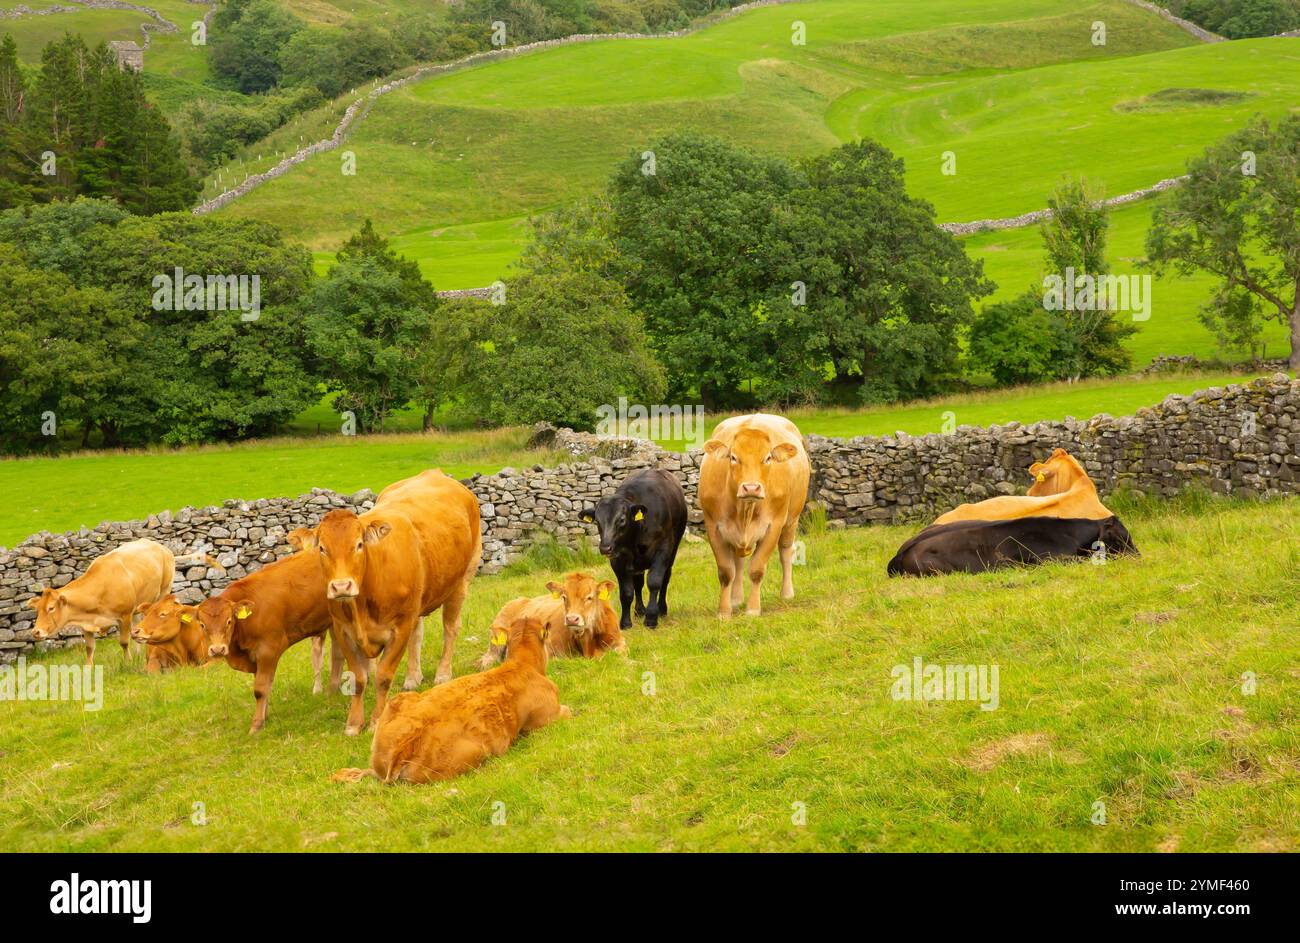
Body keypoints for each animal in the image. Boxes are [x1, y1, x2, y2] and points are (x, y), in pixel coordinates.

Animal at [28, 539, 221, 666]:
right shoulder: (86, 624)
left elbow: (124, 642)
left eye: (51, 608)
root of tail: (163, 548)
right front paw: (88, 669)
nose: (36, 632)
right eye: (38, 610)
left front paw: (128, 662)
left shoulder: (124, 615)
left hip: (163, 591)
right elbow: (89, 648)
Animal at [307, 470, 481, 735]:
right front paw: (353, 723)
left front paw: (377, 721)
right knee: (417, 635)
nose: (341, 586)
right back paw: (412, 677)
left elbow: (383, 675)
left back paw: (442, 674)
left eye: (359, 545)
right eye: (322, 549)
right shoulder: (343, 630)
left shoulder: (399, 626)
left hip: (461, 581)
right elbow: (359, 677)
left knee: (450, 628)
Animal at [477, 571, 625, 669]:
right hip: (497, 636)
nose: (572, 619)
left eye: (589, 597)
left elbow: (618, 653)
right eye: (564, 597)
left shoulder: (620, 642)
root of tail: (521, 599)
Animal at [579, 469, 687, 629]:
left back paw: (662, 609)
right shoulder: (617, 560)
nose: (605, 548)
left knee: (665, 577)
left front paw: (651, 618)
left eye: (622, 520)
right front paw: (625, 623)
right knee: (638, 583)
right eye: (597, 521)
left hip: (673, 548)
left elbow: (654, 582)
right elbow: (627, 591)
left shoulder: (663, 550)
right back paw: (640, 610)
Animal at [698, 414, 811, 617]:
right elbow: (726, 572)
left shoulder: (774, 526)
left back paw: (787, 593)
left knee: (785, 552)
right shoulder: (713, 527)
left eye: (768, 458)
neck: (744, 510)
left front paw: (753, 609)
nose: (751, 488)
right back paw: (735, 599)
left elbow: (757, 569)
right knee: (739, 563)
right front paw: (724, 611)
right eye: (733, 457)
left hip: (792, 520)